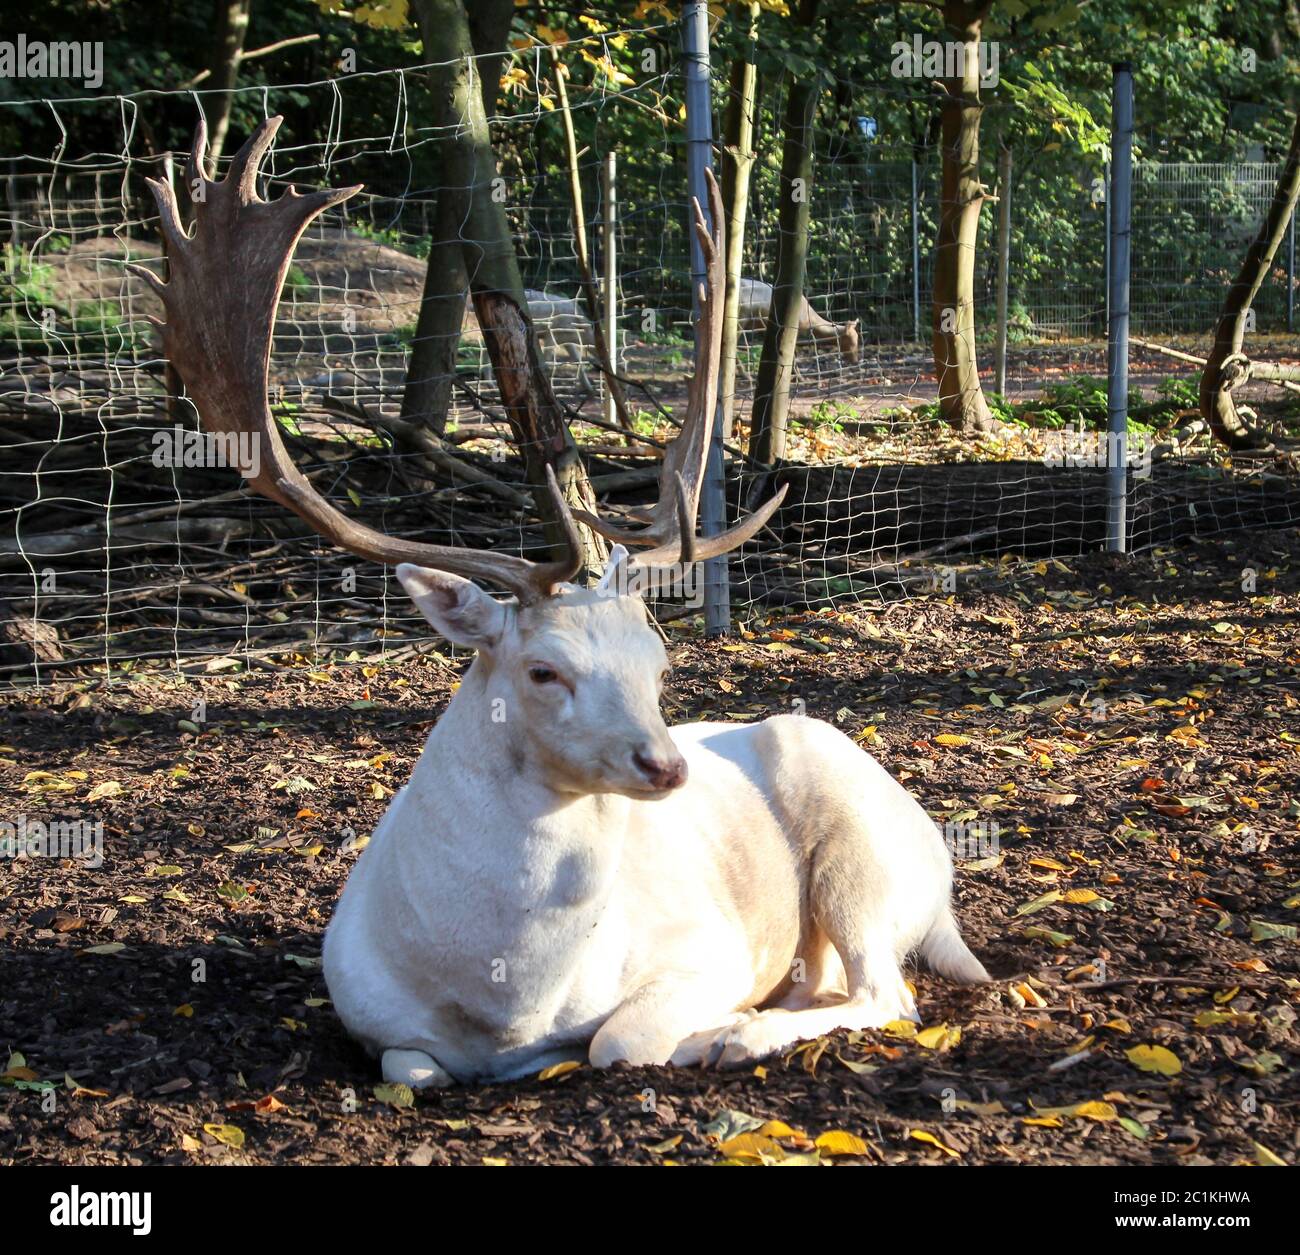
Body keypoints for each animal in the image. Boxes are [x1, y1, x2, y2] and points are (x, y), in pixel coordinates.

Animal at [131, 117, 987, 1088]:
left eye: (660, 659)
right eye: (544, 670)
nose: (667, 765)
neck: (511, 1001)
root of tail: (939, 864)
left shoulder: (706, 949)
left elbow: (619, 1039)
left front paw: (710, 1027)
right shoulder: (366, 1009)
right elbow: (413, 1067)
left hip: (860, 851)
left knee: (890, 991)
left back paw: (745, 1031)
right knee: (852, 982)